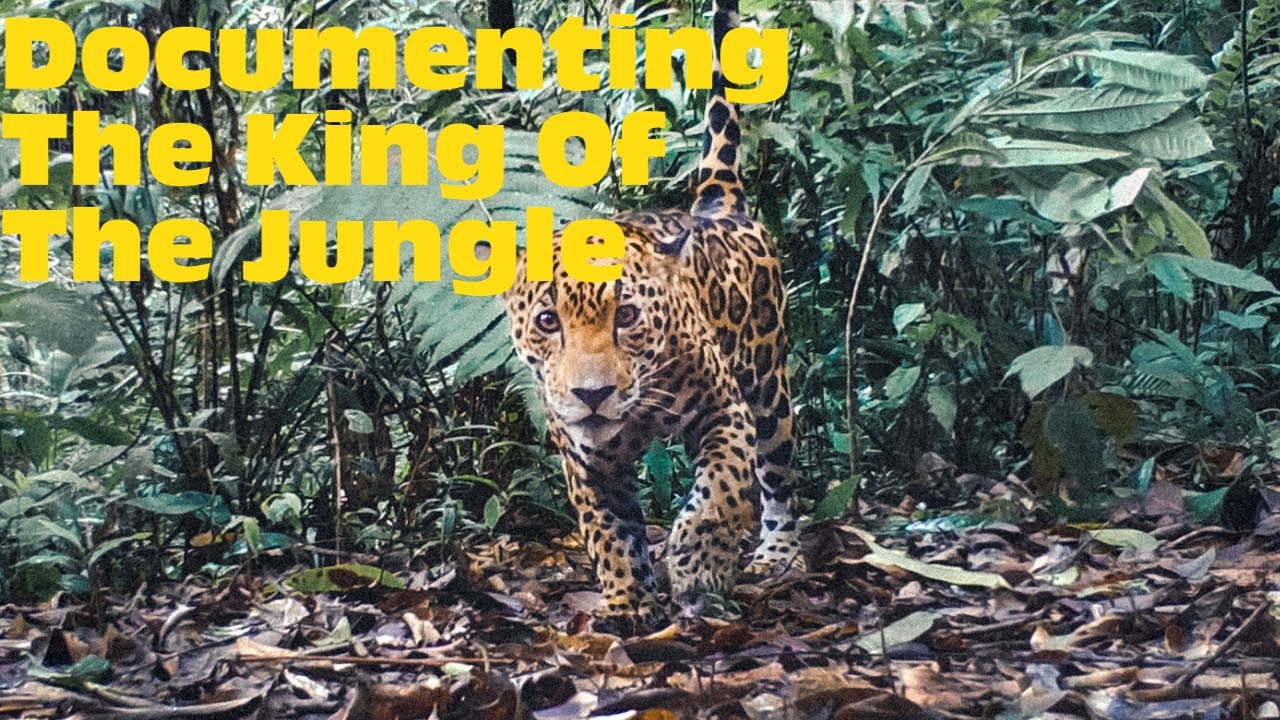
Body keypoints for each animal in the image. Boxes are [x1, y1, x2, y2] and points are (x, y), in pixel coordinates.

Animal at [501, 0, 802, 628]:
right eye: (548, 322)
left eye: (627, 317)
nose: (592, 394)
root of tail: (719, 204)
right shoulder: (585, 459)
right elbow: (608, 530)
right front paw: (627, 601)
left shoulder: (724, 410)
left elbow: (721, 491)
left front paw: (696, 563)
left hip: (769, 390)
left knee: (778, 477)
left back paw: (777, 554)